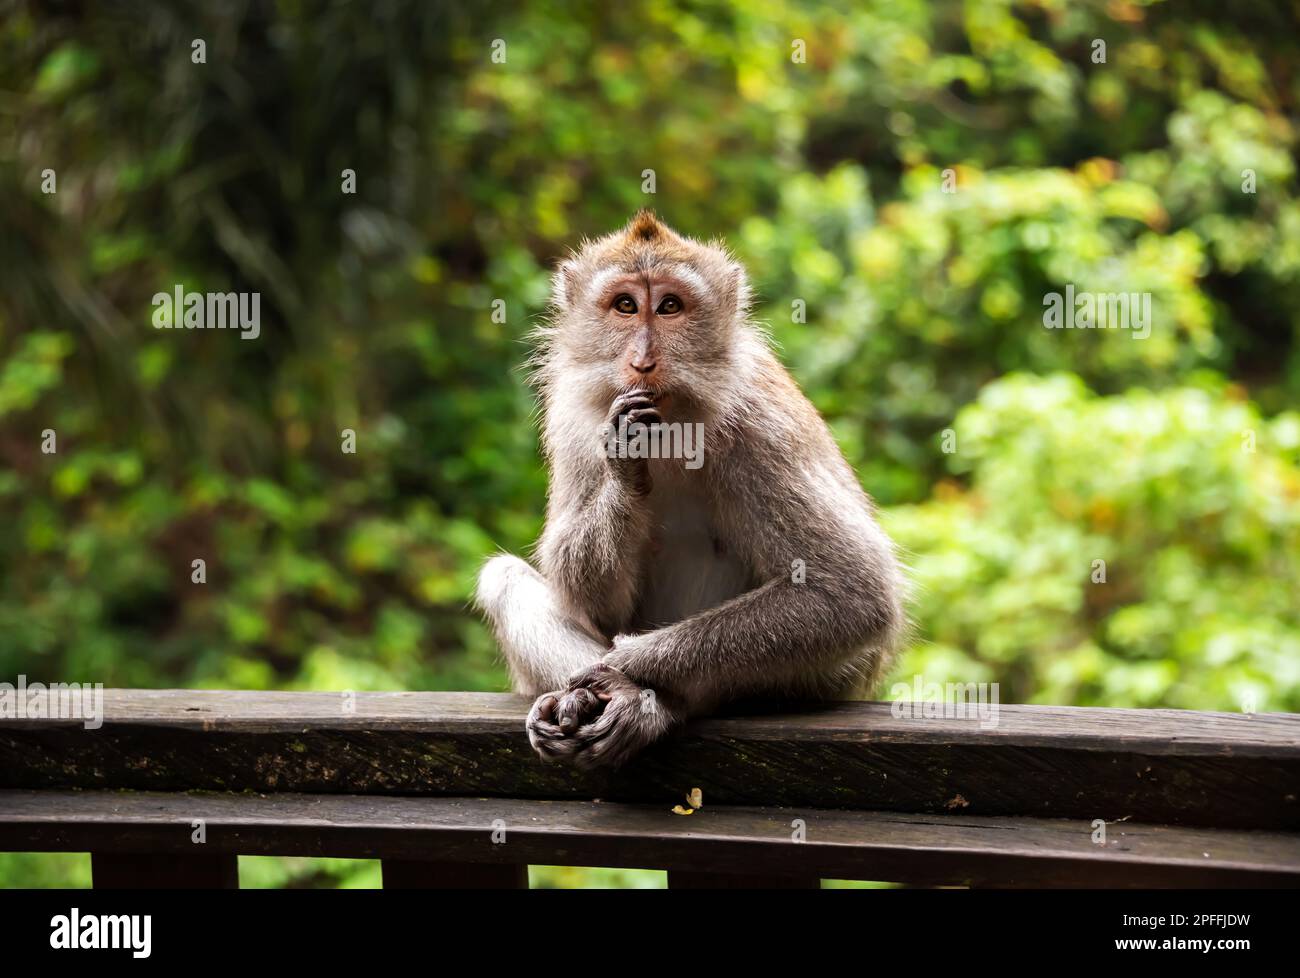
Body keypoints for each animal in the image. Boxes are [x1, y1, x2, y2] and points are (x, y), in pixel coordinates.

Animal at [475, 210, 904, 770]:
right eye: (626, 305)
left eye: (670, 306)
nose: (642, 362)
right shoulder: (570, 418)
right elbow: (592, 603)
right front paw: (625, 466)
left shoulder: (760, 424)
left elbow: (850, 592)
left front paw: (629, 667)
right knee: (503, 578)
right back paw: (584, 700)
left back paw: (647, 704)